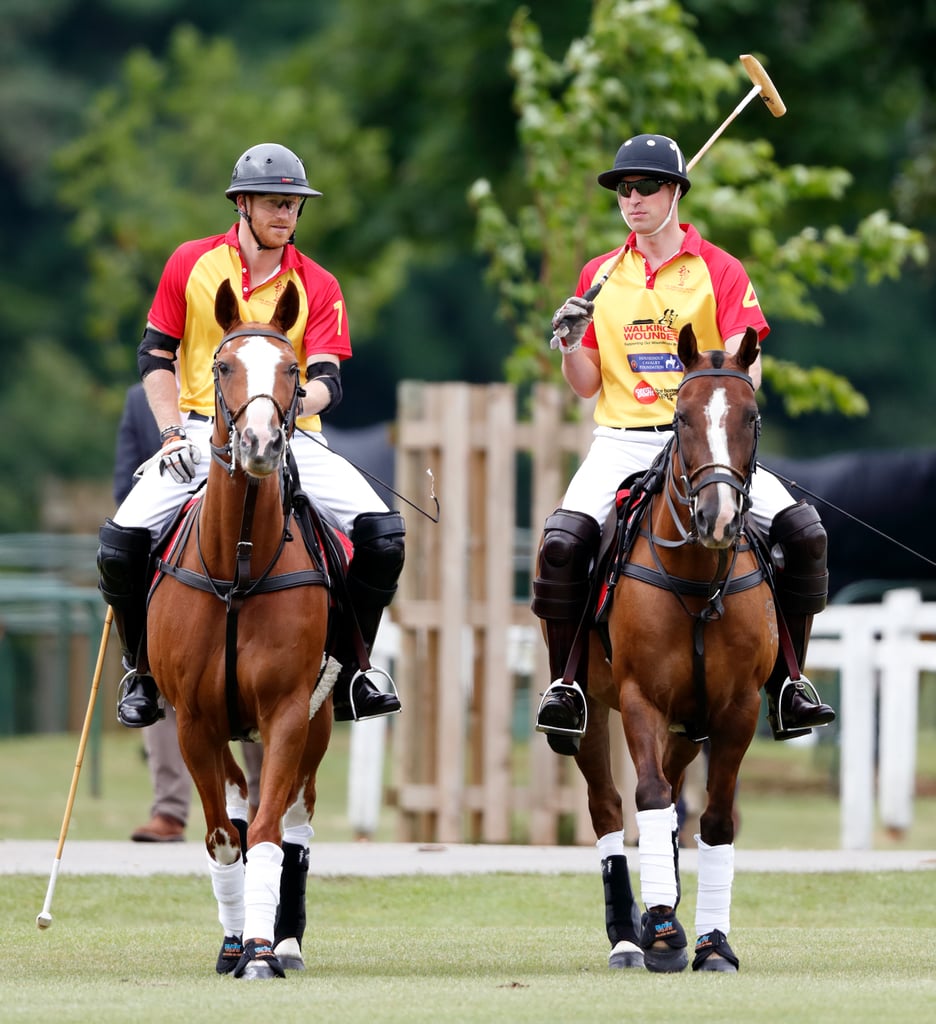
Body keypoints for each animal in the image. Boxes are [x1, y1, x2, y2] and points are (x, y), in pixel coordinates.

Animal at [145, 282, 331, 983]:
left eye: (292, 369)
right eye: (223, 366)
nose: (258, 445)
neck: (238, 566)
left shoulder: (287, 712)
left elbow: (271, 835)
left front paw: (260, 949)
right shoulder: (194, 720)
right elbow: (226, 837)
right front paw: (234, 945)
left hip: (318, 721)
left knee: (294, 819)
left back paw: (285, 940)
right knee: (234, 806)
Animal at [573, 327, 778, 974]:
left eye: (751, 417)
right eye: (681, 418)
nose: (717, 518)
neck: (696, 579)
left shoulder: (737, 708)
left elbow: (715, 818)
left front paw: (713, 943)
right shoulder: (641, 697)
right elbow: (649, 794)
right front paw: (661, 929)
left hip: (692, 724)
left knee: (673, 791)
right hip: (591, 710)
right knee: (610, 805)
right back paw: (627, 934)